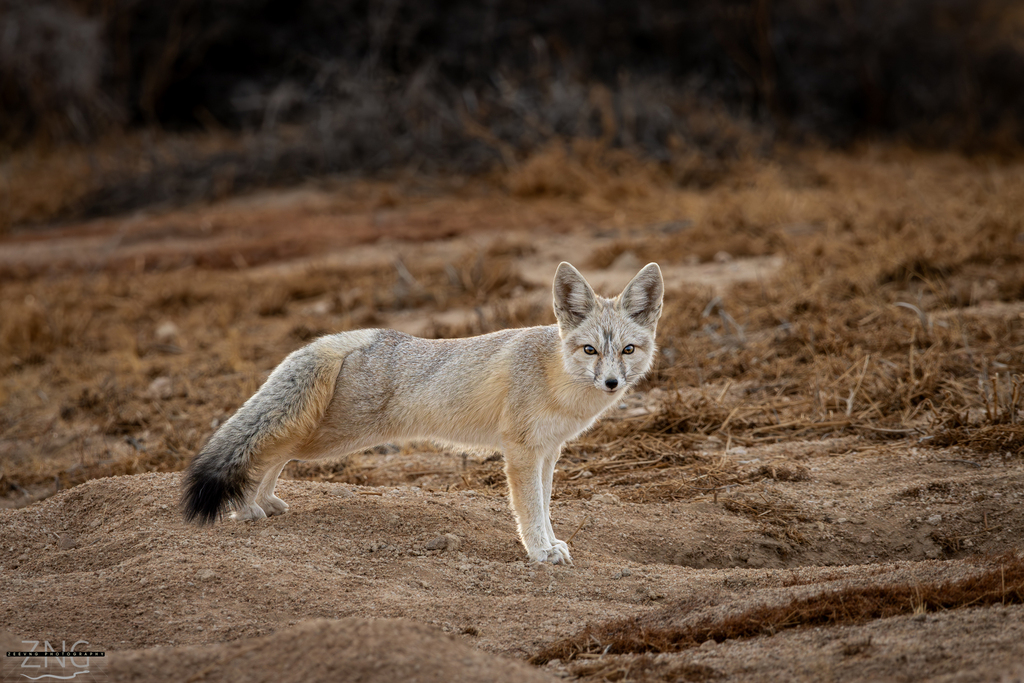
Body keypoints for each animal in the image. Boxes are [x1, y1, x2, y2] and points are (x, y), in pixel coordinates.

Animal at [181, 261, 664, 564]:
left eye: (627, 350)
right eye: (589, 350)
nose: (612, 383)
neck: (555, 374)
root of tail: (359, 335)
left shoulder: (548, 452)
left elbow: (543, 506)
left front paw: (551, 543)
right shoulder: (522, 452)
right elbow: (529, 510)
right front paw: (539, 552)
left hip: (325, 438)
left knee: (276, 454)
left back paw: (263, 502)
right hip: (332, 438)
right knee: (268, 450)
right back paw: (246, 507)